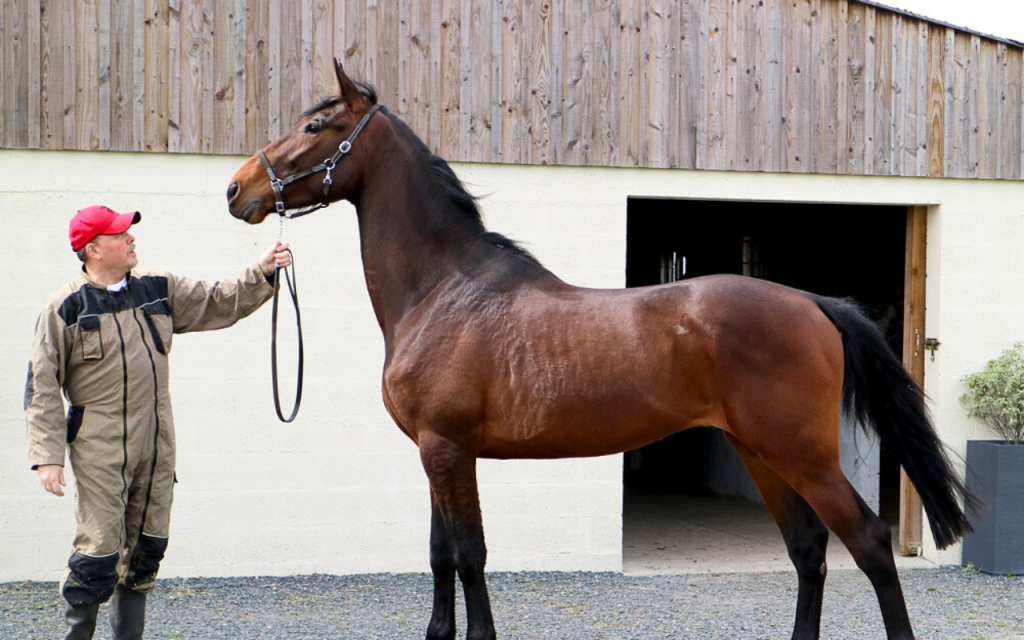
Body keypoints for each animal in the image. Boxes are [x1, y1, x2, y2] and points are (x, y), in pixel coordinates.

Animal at [226, 59, 976, 640]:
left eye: (315, 127)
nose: (237, 189)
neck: (443, 289)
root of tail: (815, 303)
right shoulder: (436, 453)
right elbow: (440, 556)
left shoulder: (448, 450)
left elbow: (469, 556)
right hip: (761, 453)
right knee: (808, 549)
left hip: (802, 454)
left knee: (869, 545)